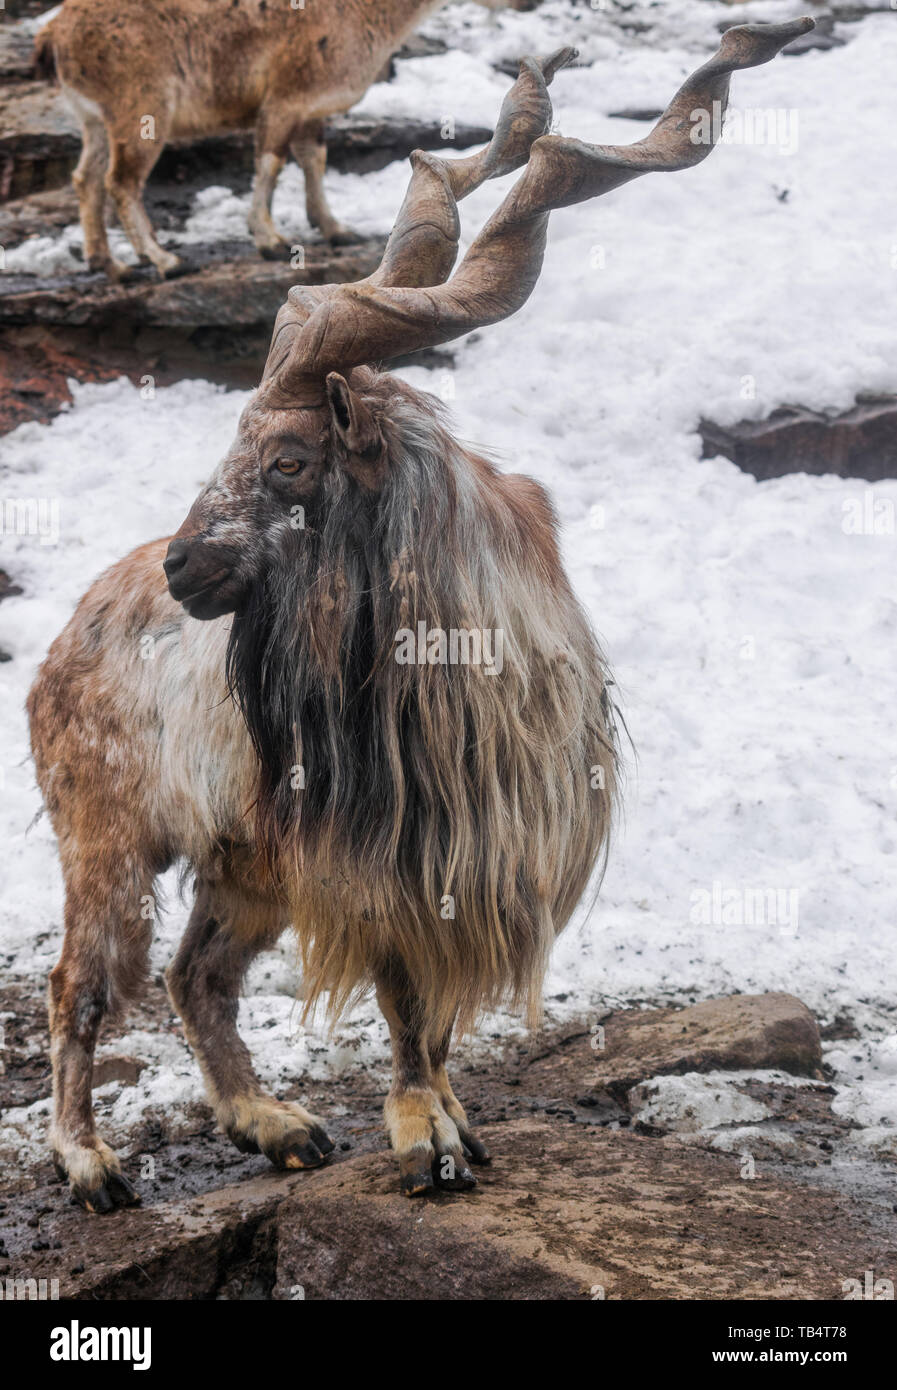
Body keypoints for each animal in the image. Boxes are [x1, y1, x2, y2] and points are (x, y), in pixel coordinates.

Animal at [28, 18, 812, 1211]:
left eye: (288, 458)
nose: (183, 567)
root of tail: (61, 645)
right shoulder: (379, 861)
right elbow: (404, 1000)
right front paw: (422, 1139)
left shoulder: (480, 860)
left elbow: (437, 1020)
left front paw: (453, 1122)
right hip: (108, 834)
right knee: (81, 980)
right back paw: (90, 1162)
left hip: (242, 861)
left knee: (196, 974)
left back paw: (273, 1124)